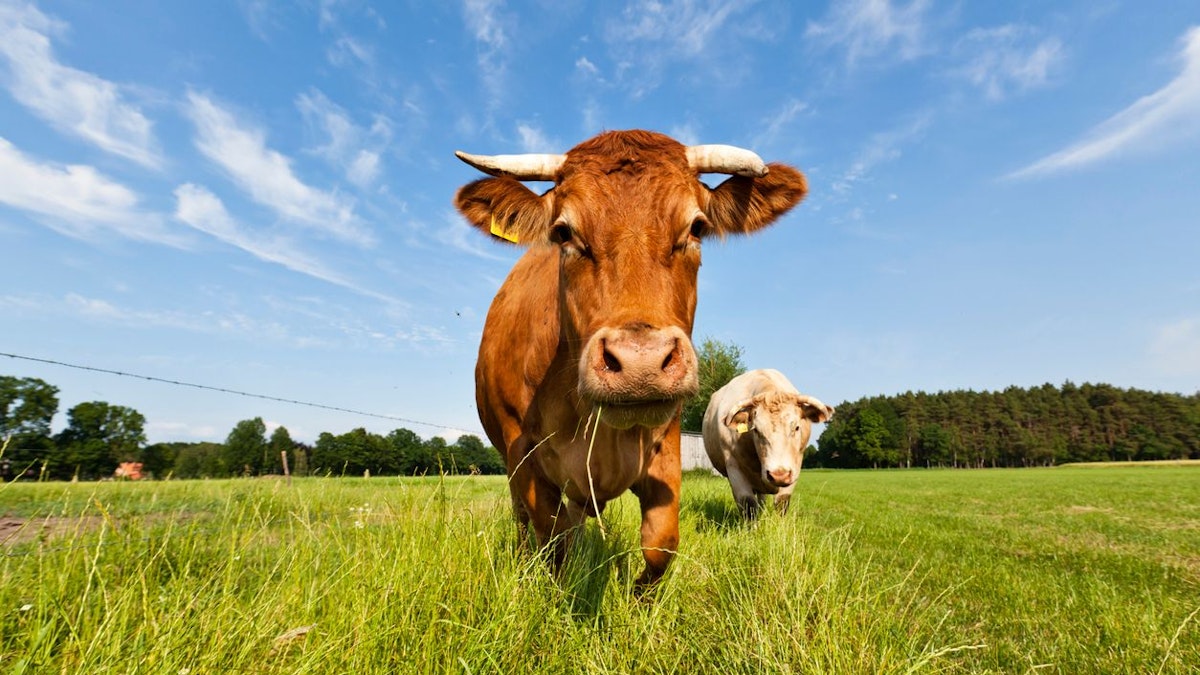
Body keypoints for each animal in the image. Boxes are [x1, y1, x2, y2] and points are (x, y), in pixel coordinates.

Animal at [453, 130, 809, 590]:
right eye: (563, 232)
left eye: (697, 227)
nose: (641, 363)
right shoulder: (525, 456)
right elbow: (551, 541)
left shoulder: (667, 446)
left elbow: (661, 545)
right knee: (526, 523)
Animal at [703, 369, 833, 519]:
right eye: (756, 430)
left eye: (796, 427)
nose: (779, 475)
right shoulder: (733, 467)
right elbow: (747, 504)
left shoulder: (795, 467)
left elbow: (782, 502)